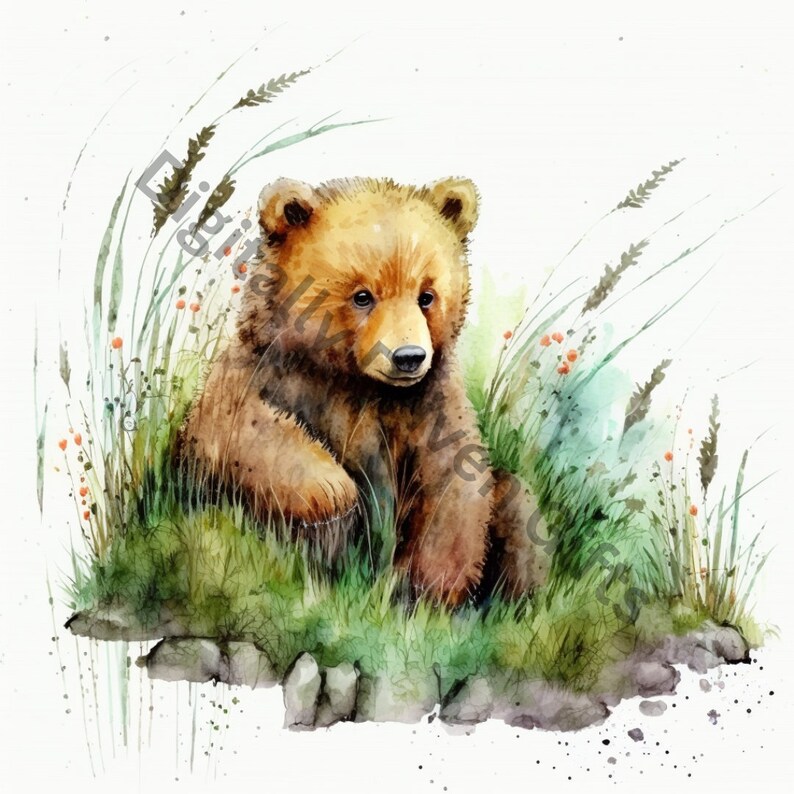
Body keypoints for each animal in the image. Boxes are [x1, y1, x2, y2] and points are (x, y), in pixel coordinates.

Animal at [179, 176, 550, 606]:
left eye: (426, 295)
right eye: (362, 296)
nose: (408, 357)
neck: (358, 382)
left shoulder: (429, 406)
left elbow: (454, 482)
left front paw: (432, 589)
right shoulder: (272, 373)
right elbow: (236, 426)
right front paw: (333, 491)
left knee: (516, 501)